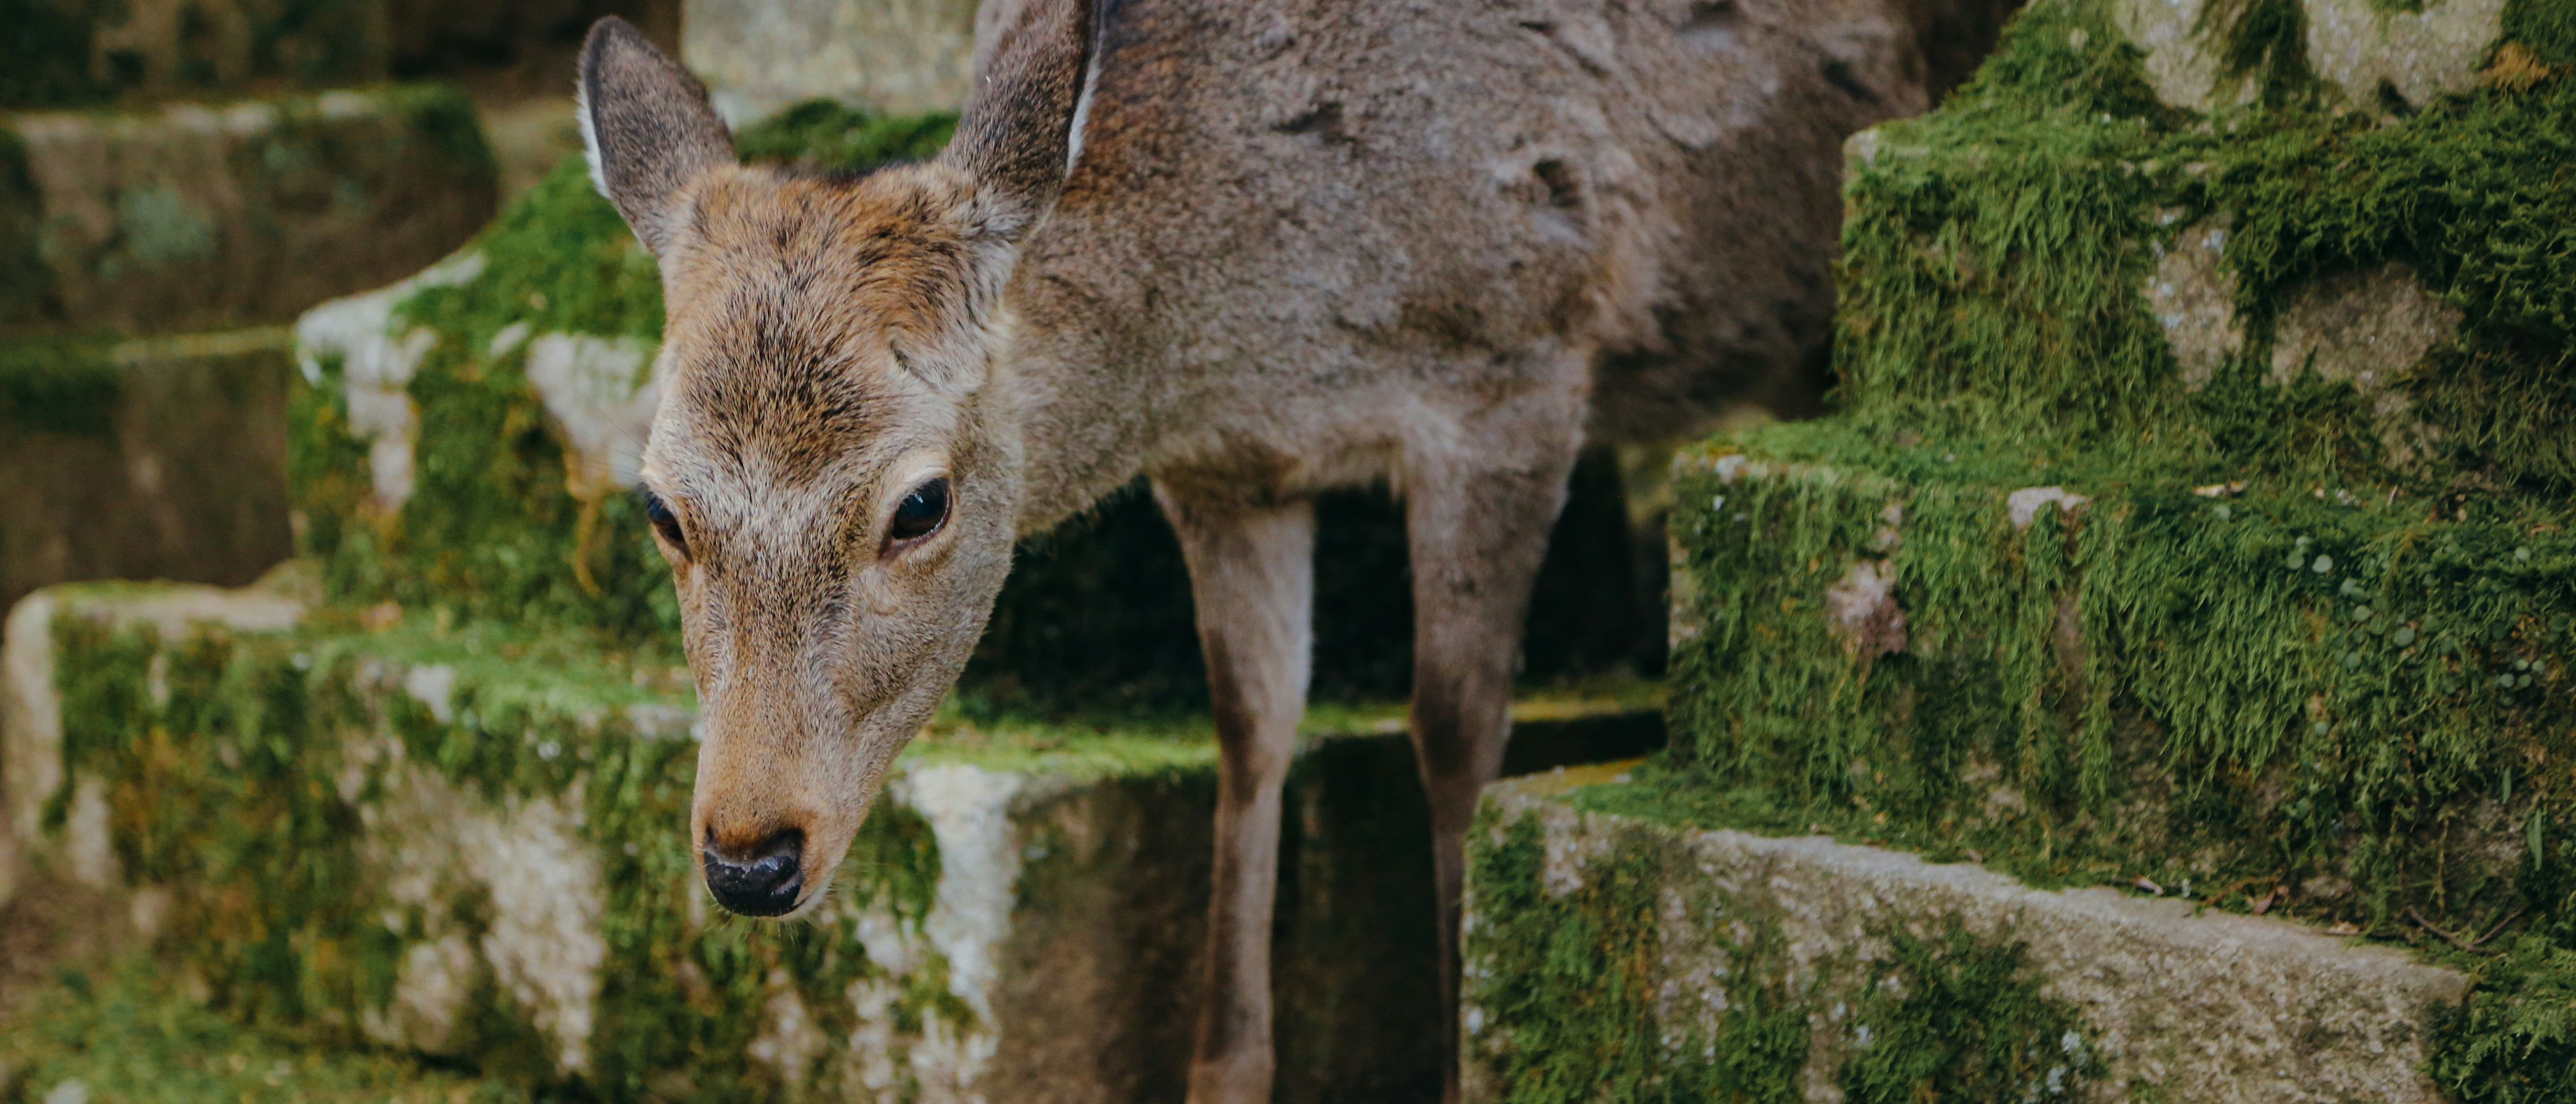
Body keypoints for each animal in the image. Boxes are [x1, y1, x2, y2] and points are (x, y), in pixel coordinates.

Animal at [575, 0, 2005, 1097]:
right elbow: (1253, 726)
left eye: (918, 505)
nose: (750, 857)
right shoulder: (1226, 473)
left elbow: (1455, 732)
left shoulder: (1514, 376)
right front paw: (1226, 1068)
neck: (1250, 317)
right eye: (660, 507)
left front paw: (1461, 1051)